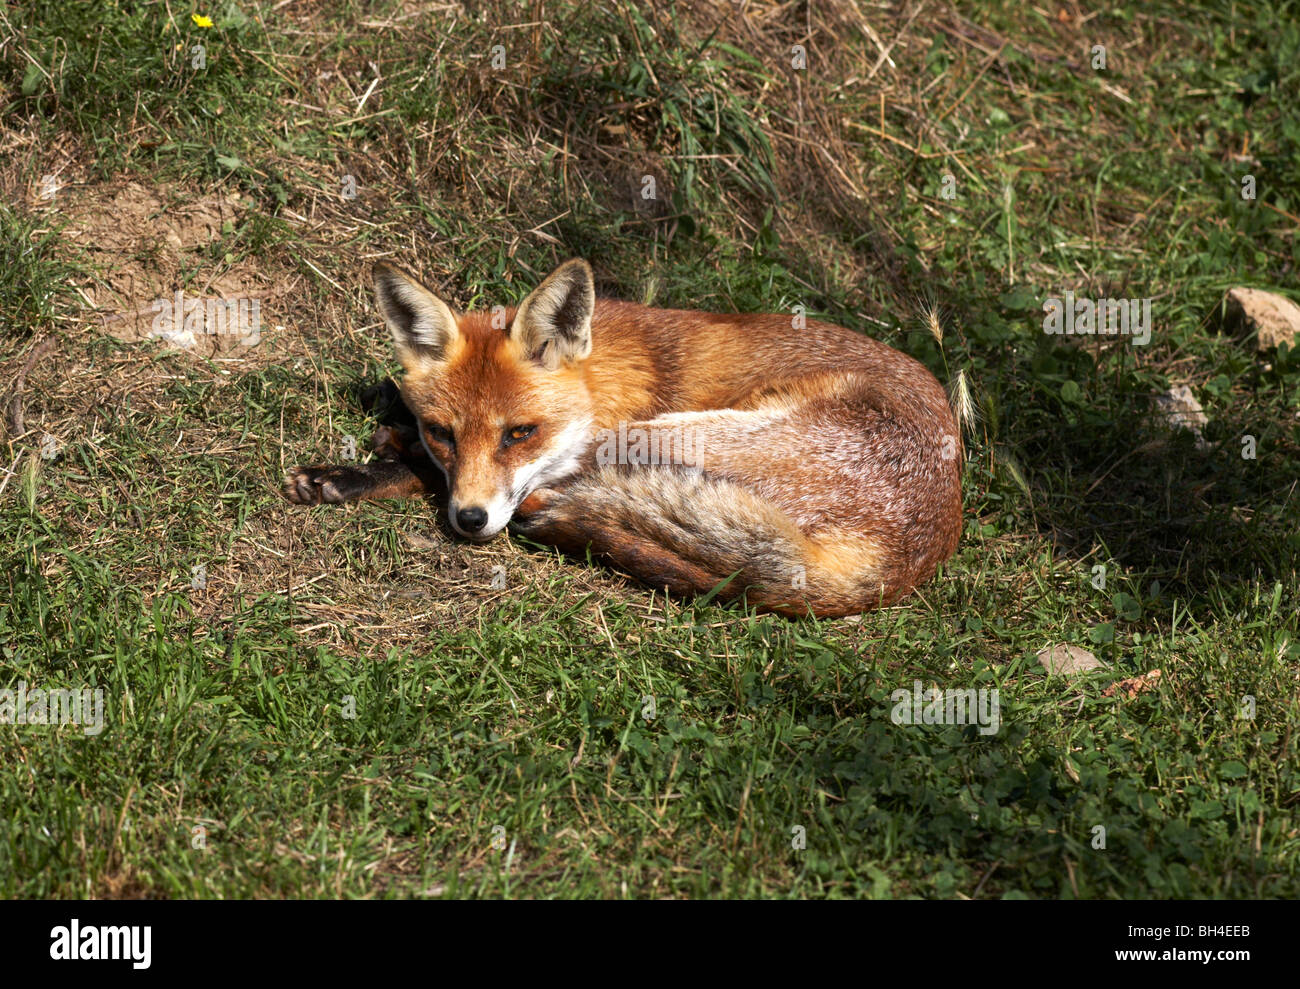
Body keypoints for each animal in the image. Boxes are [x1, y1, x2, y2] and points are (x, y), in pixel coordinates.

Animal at [282, 259, 963, 617]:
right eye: (444, 432)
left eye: (520, 433)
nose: (469, 521)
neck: (606, 375)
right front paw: (383, 429)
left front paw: (365, 465)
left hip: (657, 437)